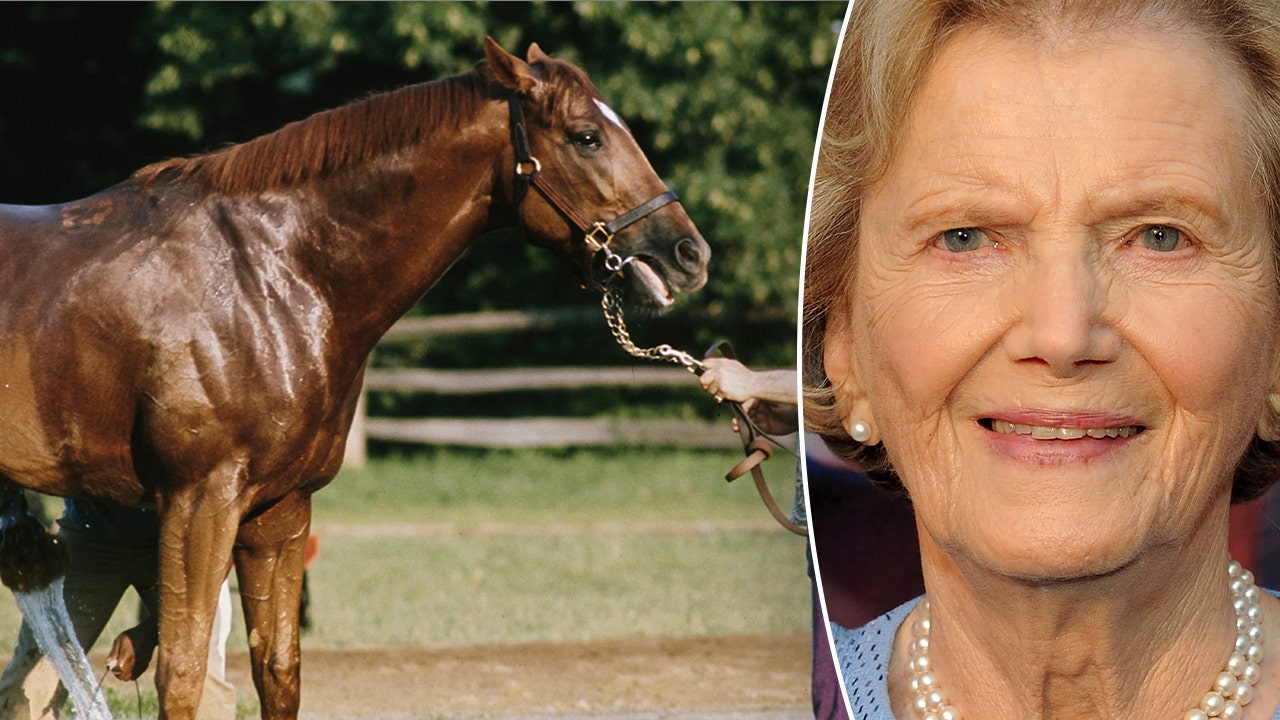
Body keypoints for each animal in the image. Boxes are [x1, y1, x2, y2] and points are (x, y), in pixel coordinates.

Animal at [0, 38, 708, 719]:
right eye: (586, 136)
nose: (688, 253)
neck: (273, 276)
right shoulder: (198, 502)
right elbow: (182, 675)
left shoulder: (279, 513)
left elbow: (277, 673)